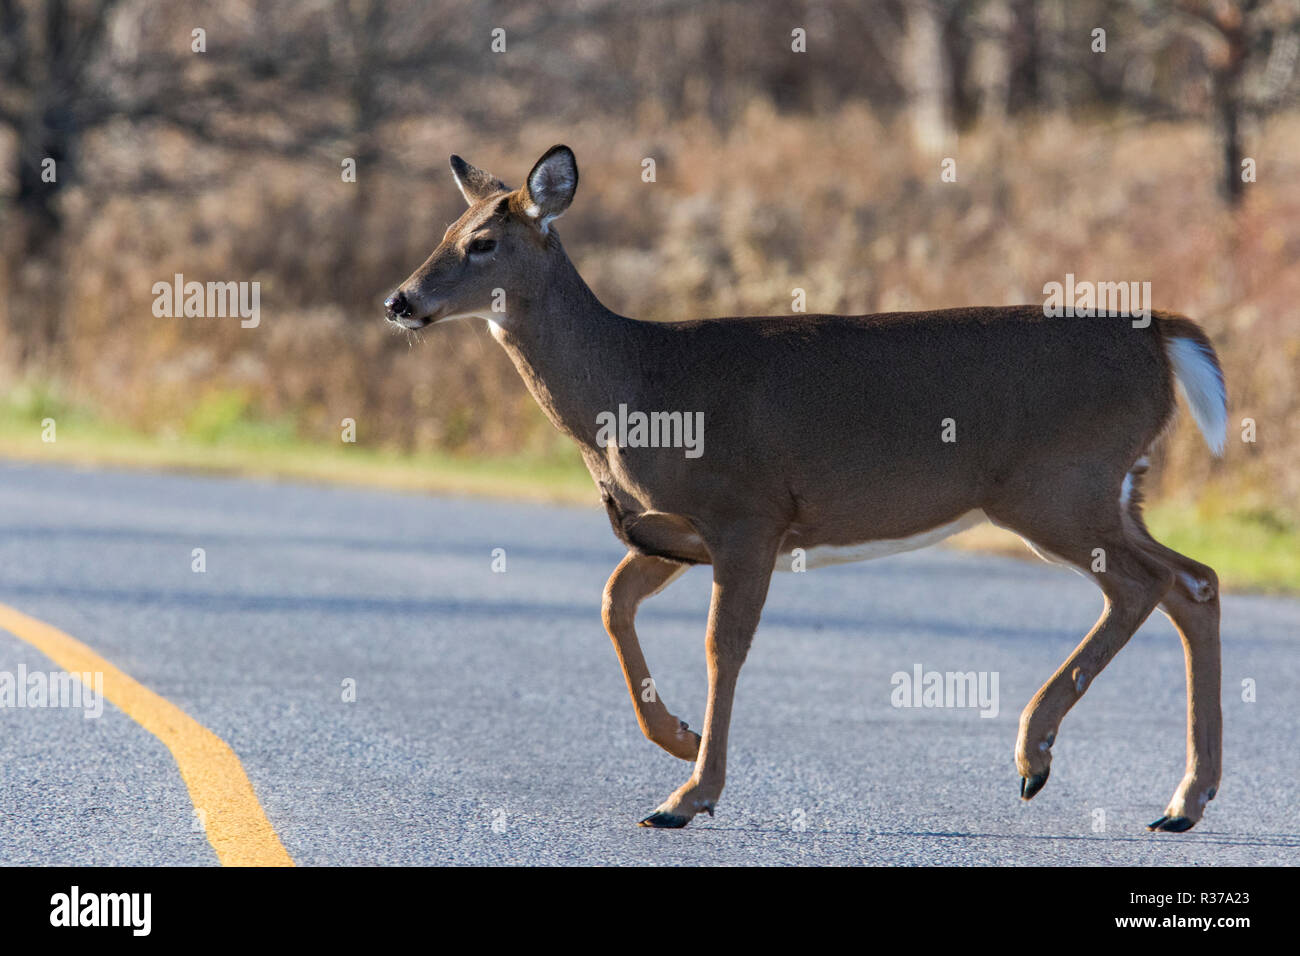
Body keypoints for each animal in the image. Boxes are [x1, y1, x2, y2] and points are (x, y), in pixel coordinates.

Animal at [384, 145, 1227, 832]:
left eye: (482, 243)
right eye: (445, 232)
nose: (399, 301)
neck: (638, 387)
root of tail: (1162, 333)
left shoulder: (747, 514)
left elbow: (723, 646)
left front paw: (689, 796)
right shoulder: (674, 531)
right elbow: (613, 601)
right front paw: (679, 740)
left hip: (1055, 488)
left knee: (1145, 585)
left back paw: (1039, 757)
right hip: (1113, 492)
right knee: (1195, 581)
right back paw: (1182, 800)